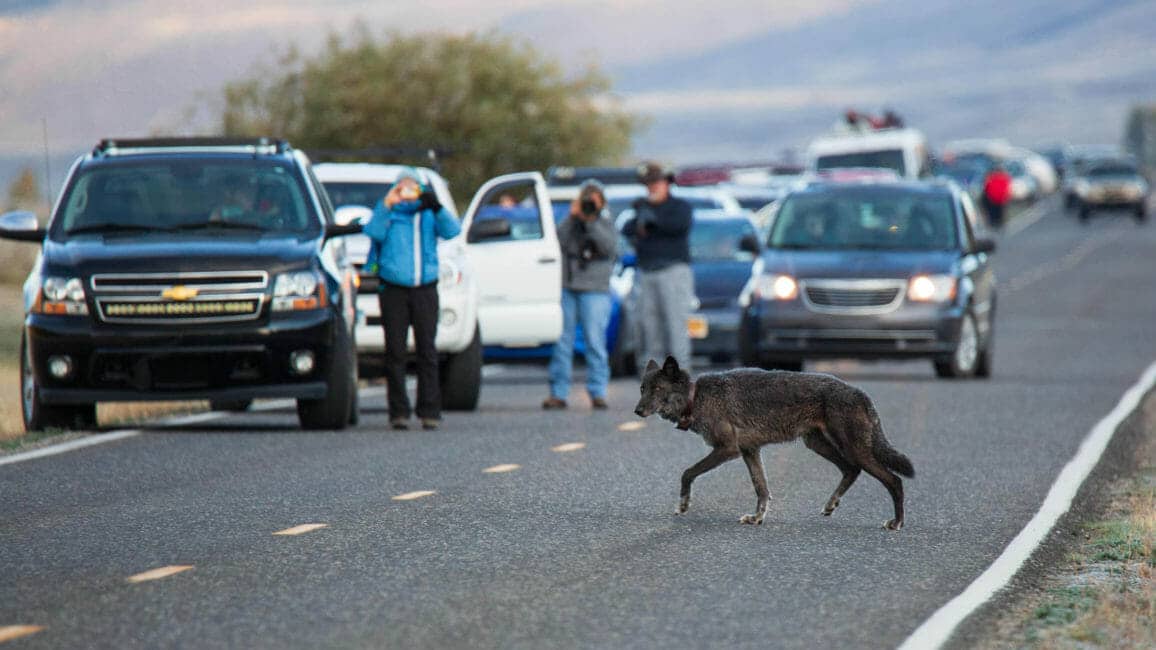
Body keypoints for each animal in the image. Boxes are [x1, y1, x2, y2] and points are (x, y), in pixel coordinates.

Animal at [633, 357, 915, 530]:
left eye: (658, 389)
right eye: (642, 388)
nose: (637, 411)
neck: (696, 397)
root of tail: (861, 394)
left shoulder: (728, 449)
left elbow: (687, 473)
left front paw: (683, 504)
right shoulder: (749, 451)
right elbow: (761, 488)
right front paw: (757, 518)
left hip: (854, 449)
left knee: (894, 480)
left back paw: (896, 523)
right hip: (818, 445)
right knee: (850, 469)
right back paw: (830, 504)